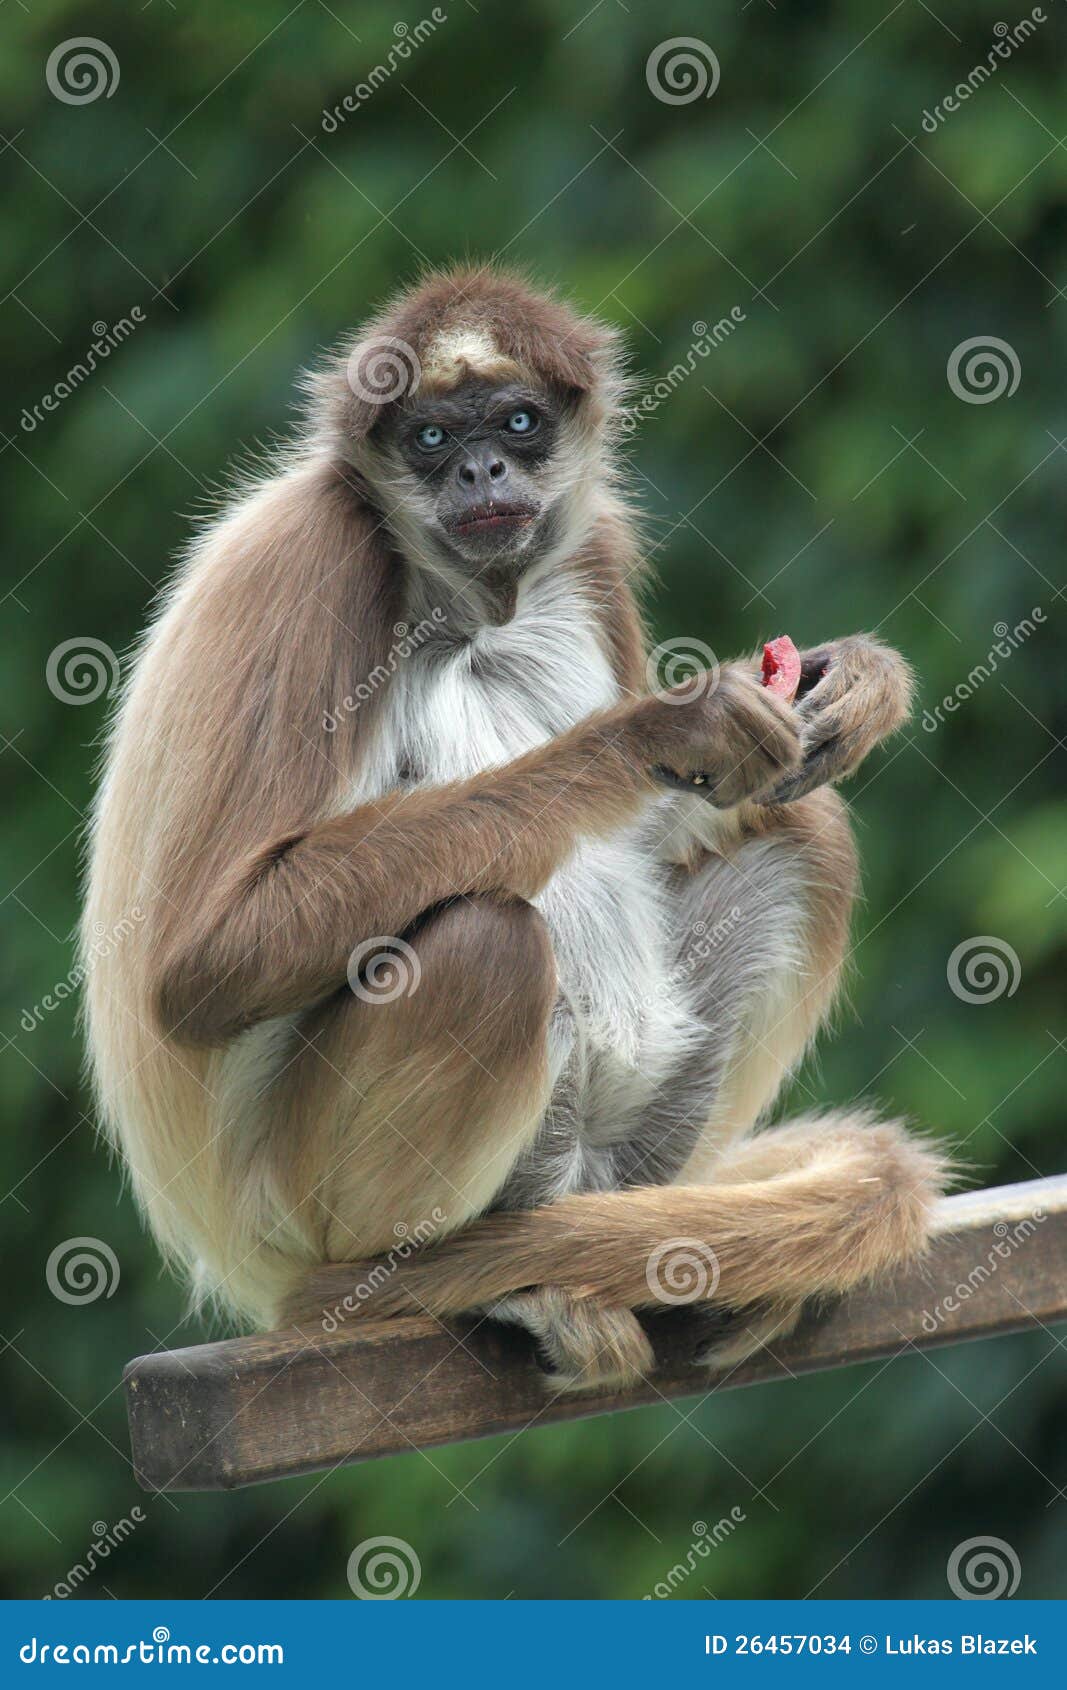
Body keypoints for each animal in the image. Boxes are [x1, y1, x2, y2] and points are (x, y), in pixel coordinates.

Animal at [82, 264, 948, 1395]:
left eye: (518, 422)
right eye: (430, 437)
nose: (479, 467)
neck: (473, 609)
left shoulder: (592, 549)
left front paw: (849, 680)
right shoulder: (318, 558)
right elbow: (201, 964)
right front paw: (662, 726)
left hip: (633, 1139)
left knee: (810, 836)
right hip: (290, 1204)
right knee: (482, 944)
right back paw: (447, 1279)